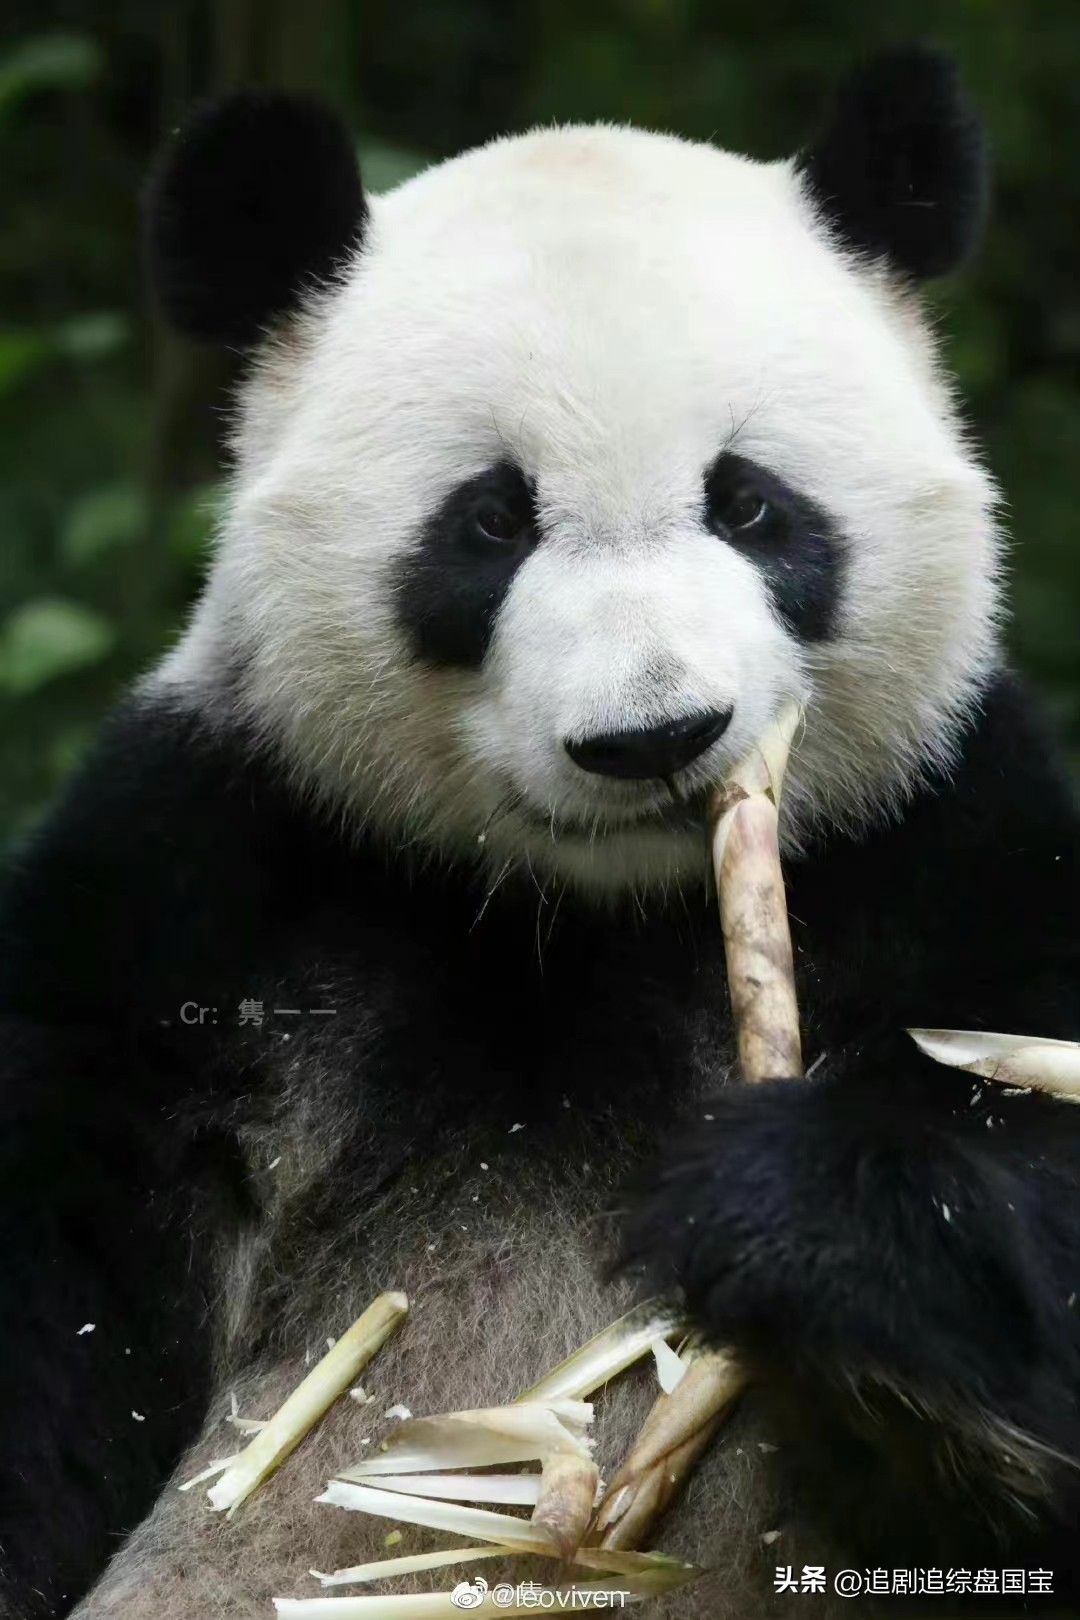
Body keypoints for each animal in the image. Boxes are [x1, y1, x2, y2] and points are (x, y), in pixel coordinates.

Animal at [2, 40, 1080, 1620]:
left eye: (750, 504)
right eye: (492, 521)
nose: (655, 737)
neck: (596, 910)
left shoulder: (954, 841)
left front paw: (792, 1213)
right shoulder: (198, 885)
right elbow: (54, 1279)